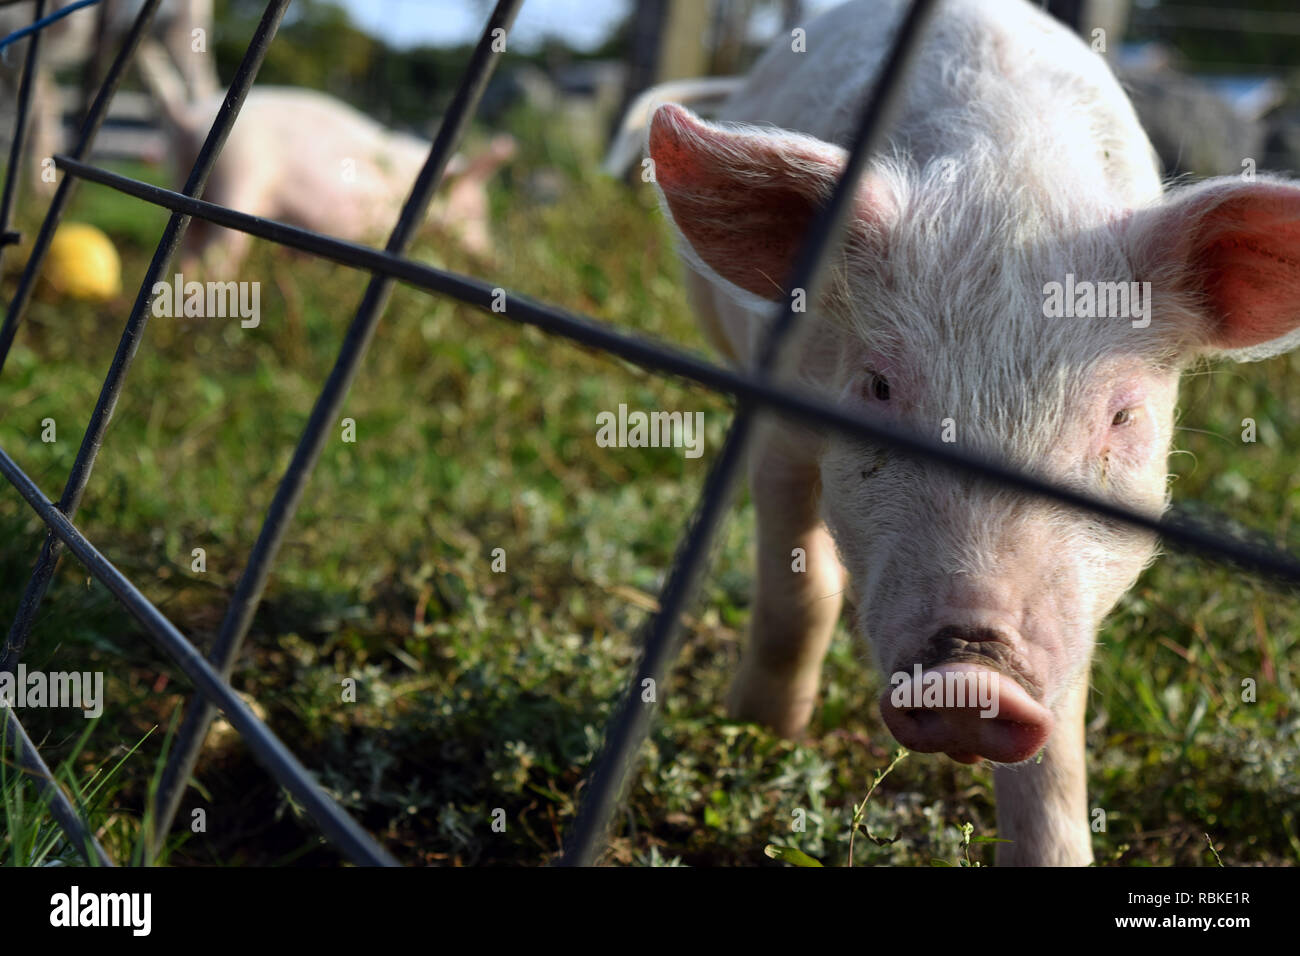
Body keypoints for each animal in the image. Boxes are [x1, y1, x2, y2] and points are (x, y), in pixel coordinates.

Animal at [640, 0, 1300, 865]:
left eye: (1123, 416)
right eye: (879, 386)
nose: (970, 679)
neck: (1010, 184)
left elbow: (1060, 735)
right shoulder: (783, 414)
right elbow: (799, 591)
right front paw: (759, 731)